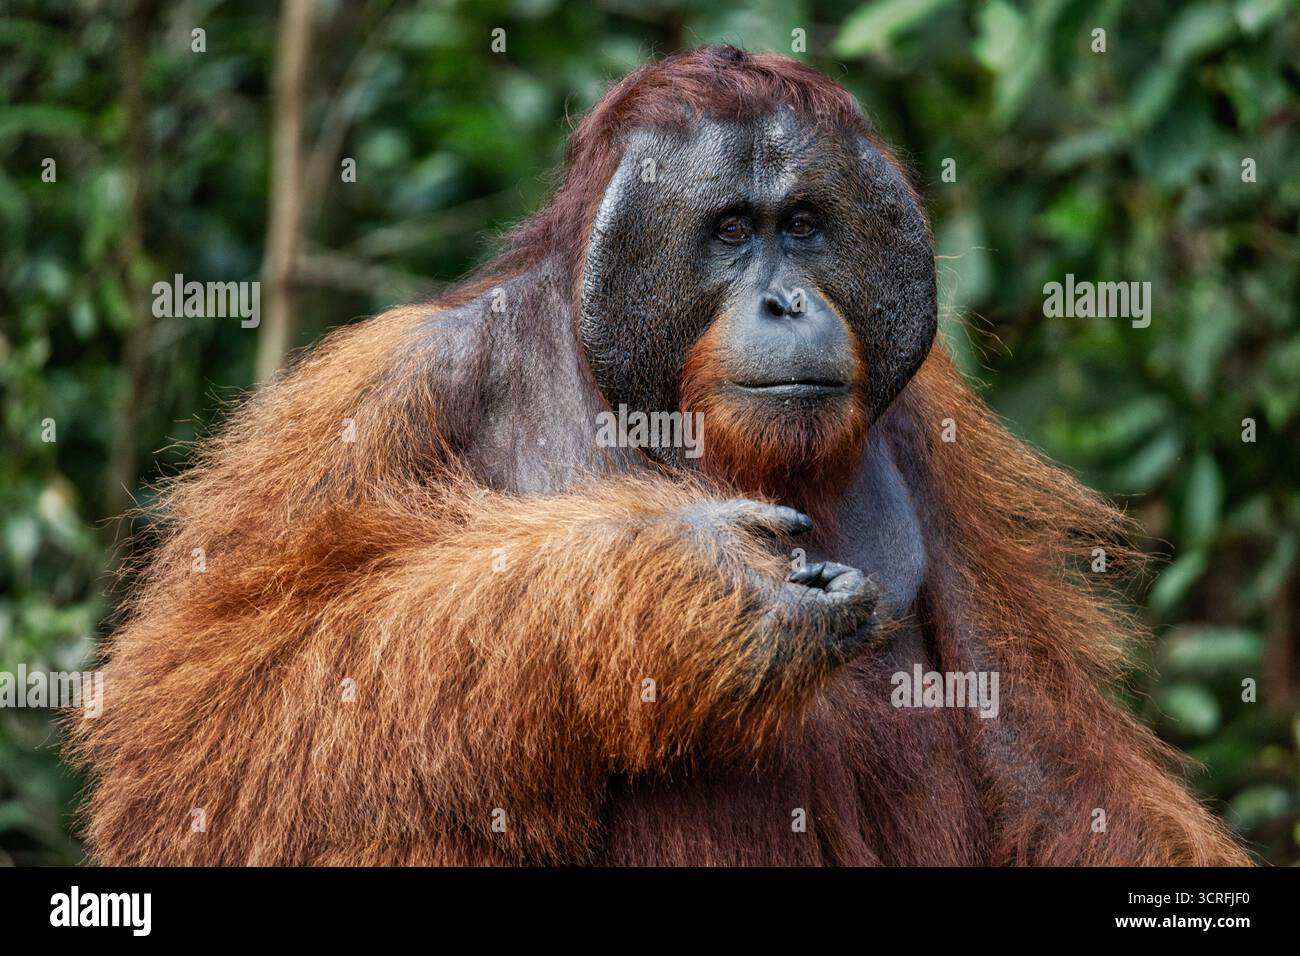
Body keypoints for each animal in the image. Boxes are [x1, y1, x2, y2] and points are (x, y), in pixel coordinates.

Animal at [70, 45, 1249, 866]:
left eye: (805, 223)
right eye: (730, 230)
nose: (787, 300)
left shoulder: (934, 439)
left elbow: (1045, 770)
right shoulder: (386, 392)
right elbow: (201, 735)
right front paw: (702, 578)